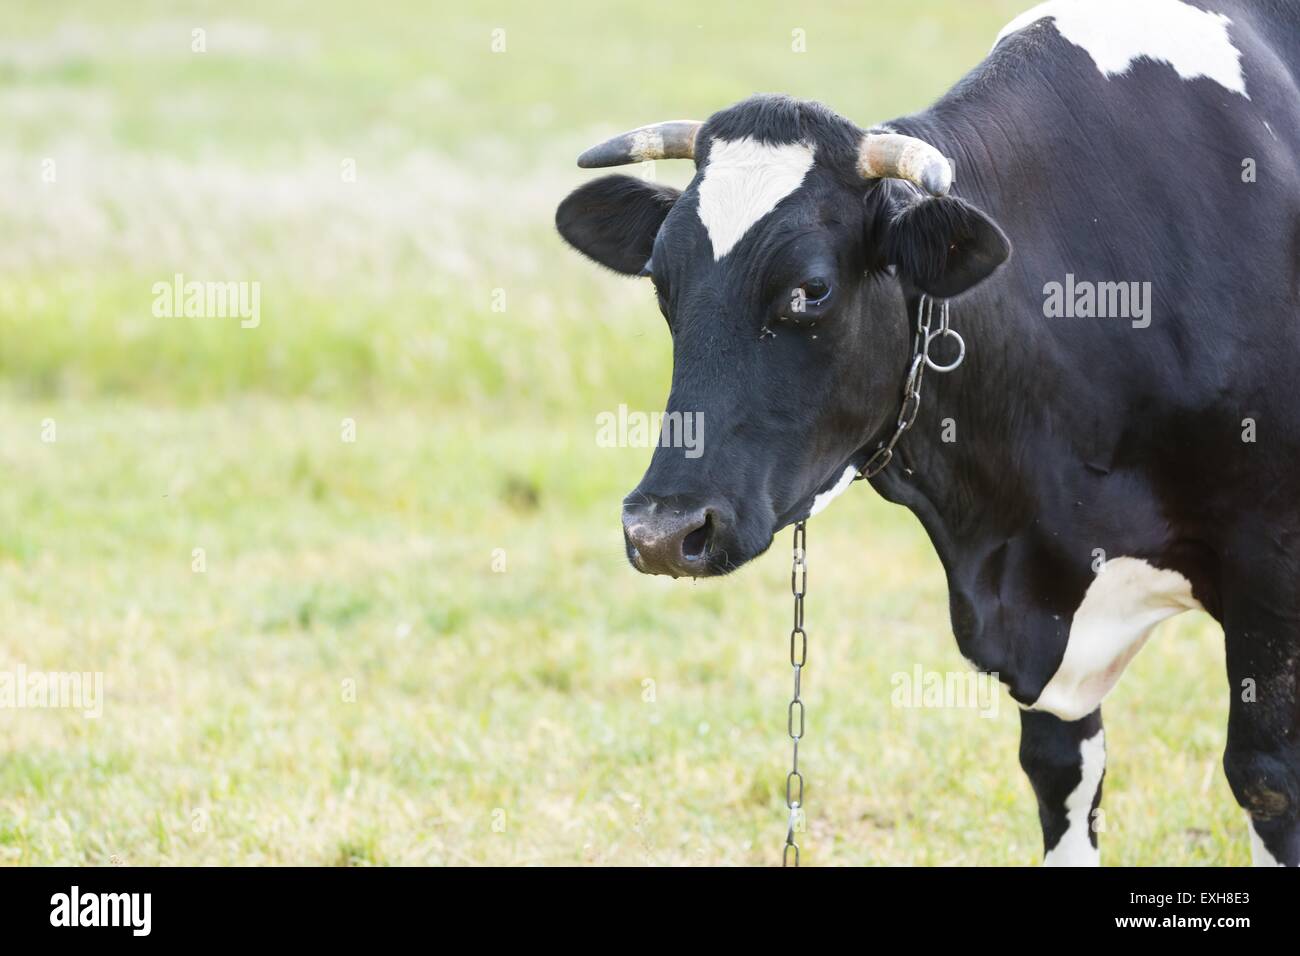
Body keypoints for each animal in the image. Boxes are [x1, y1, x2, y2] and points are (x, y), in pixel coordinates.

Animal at [555, 0, 1300, 866]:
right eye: (662, 283)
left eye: (811, 290)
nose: (663, 532)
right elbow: (1060, 772)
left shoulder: (1271, 570)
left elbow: (1266, 777)